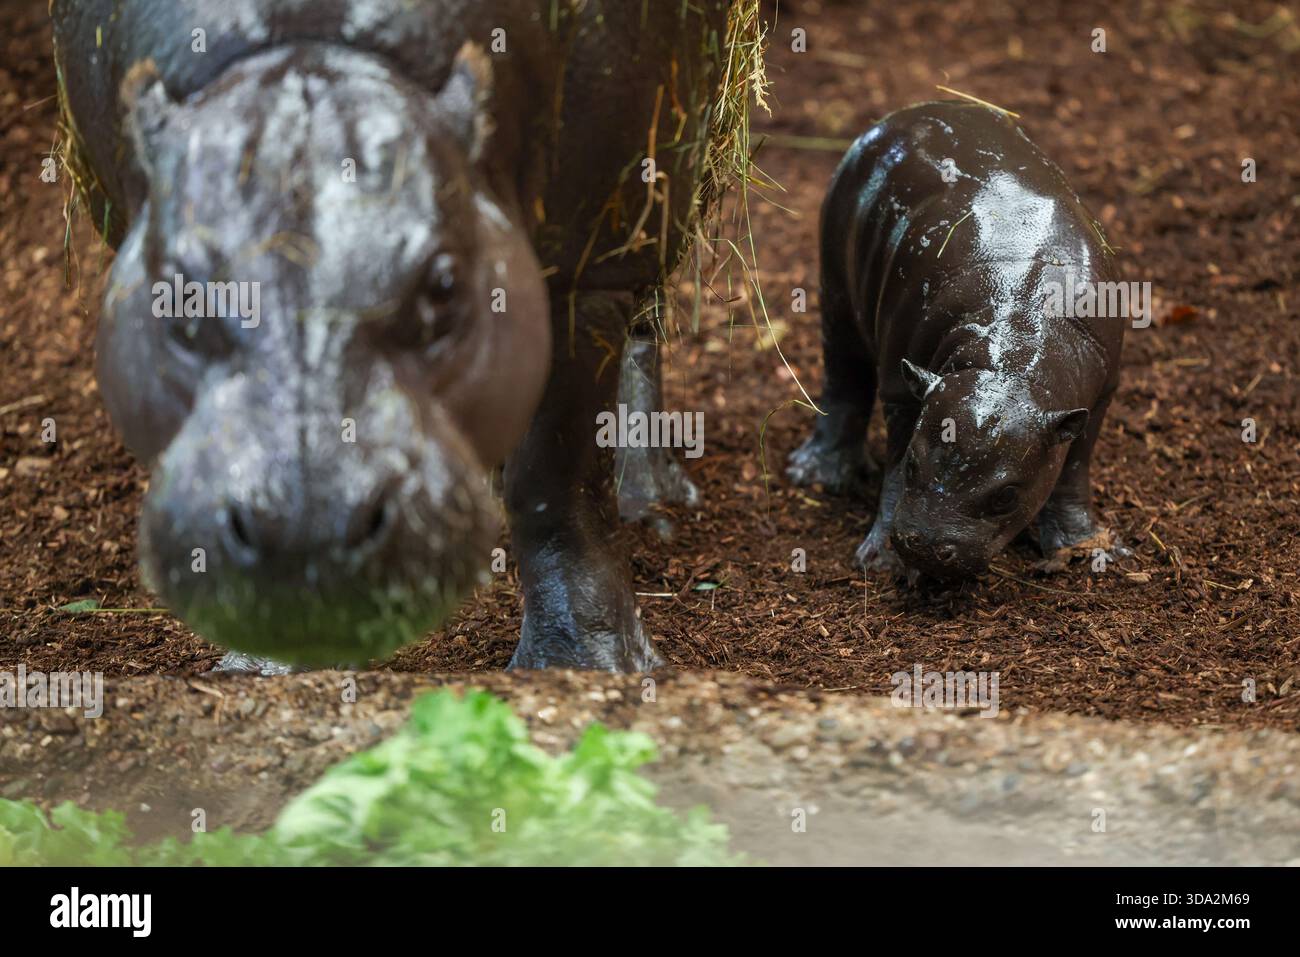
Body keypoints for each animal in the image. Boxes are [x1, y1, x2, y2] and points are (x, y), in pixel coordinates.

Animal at [52, 0, 743, 671]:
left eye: (443, 285)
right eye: (180, 297)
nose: (310, 530)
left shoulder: (590, 265)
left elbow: (554, 477)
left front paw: (580, 667)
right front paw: (257, 661)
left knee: (645, 322)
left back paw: (652, 502)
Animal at [788, 101, 1126, 580]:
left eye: (1006, 495)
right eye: (915, 465)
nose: (927, 548)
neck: (1012, 357)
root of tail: (908, 112)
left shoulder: (1098, 398)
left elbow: (1072, 471)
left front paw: (1086, 549)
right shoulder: (901, 388)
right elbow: (893, 463)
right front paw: (882, 562)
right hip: (835, 285)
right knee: (843, 376)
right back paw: (816, 474)